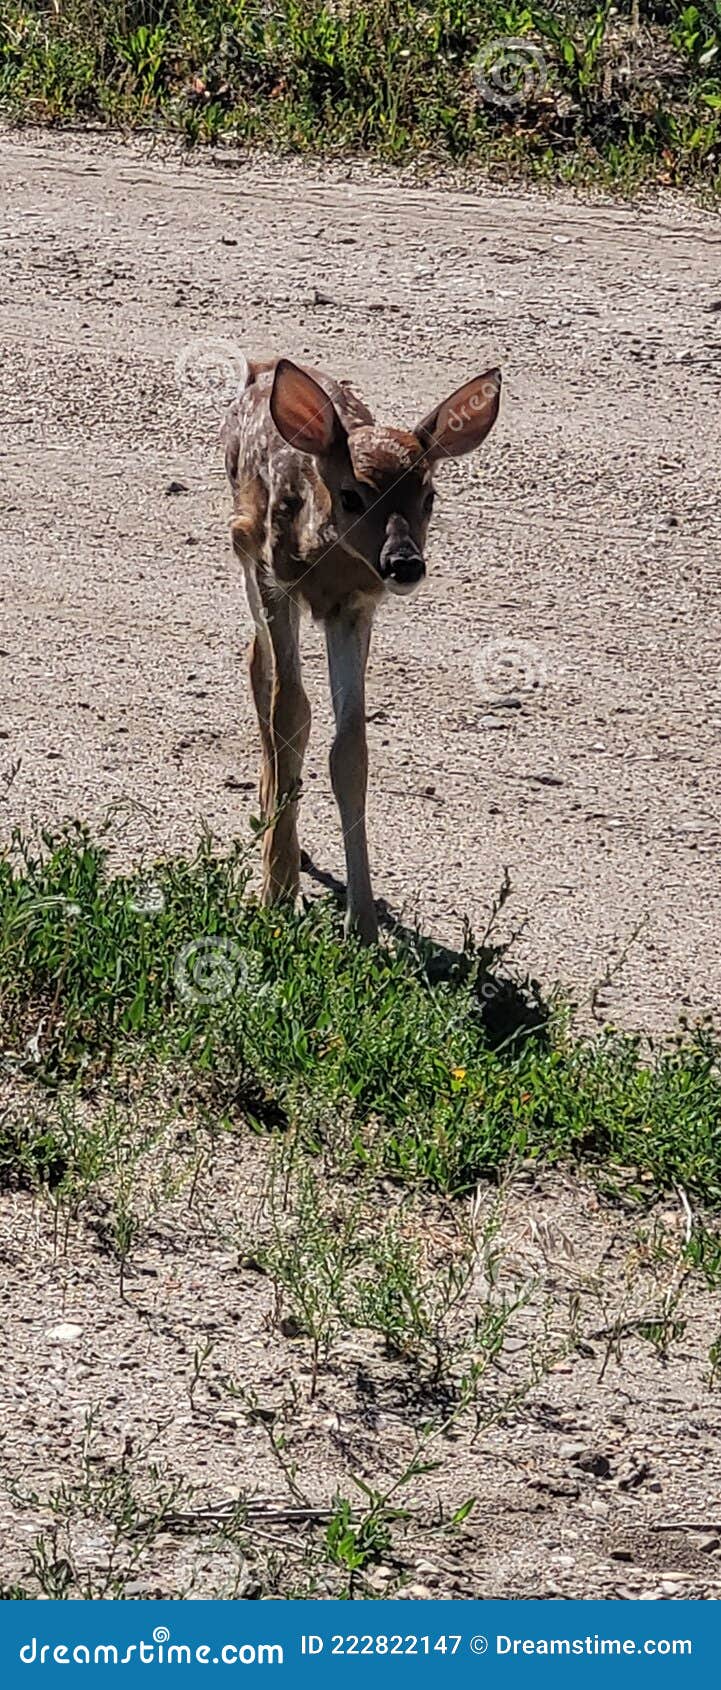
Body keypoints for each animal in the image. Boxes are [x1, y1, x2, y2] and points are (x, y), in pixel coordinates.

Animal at [222, 356, 501, 944]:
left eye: (429, 498)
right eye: (353, 495)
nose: (405, 563)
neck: (329, 560)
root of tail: (262, 367)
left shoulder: (356, 609)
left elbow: (350, 747)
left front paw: (364, 923)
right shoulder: (276, 578)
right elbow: (292, 713)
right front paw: (276, 893)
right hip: (243, 547)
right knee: (260, 670)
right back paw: (272, 823)